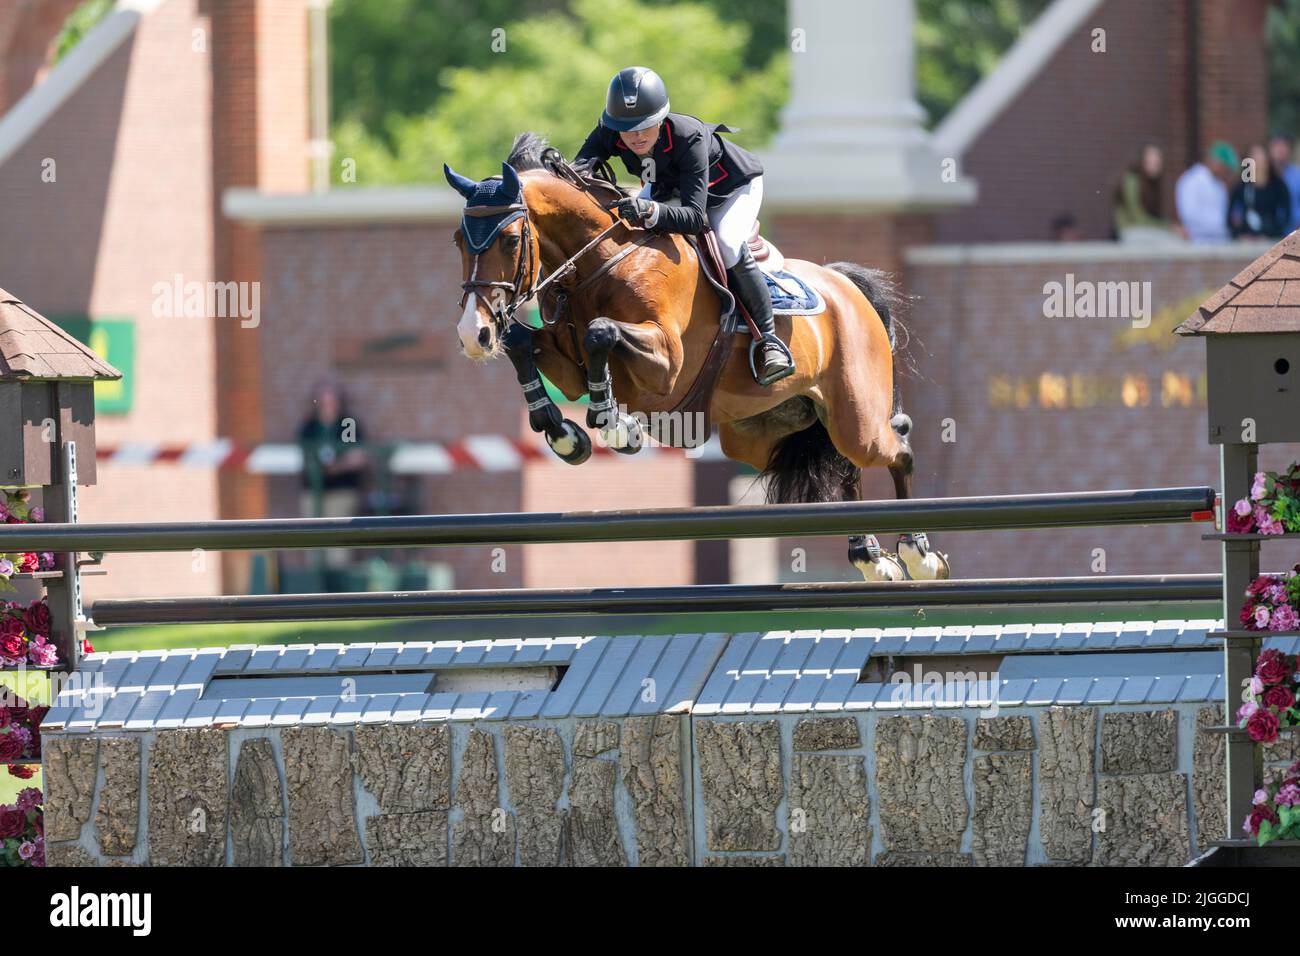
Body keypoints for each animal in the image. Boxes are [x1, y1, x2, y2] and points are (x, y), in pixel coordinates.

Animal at [444, 132, 948, 581]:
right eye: (457, 240)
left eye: (511, 240)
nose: (474, 334)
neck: (605, 259)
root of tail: (845, 284)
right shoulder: (566, 367)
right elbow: (523, 344)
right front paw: (562, 433)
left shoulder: (666, 364)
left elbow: (600, 333)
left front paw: (616, 425)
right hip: (761, 435)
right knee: (841, 471)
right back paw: (871, 557)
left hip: (855, 418)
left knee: (897, 451)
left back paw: (919, 553)